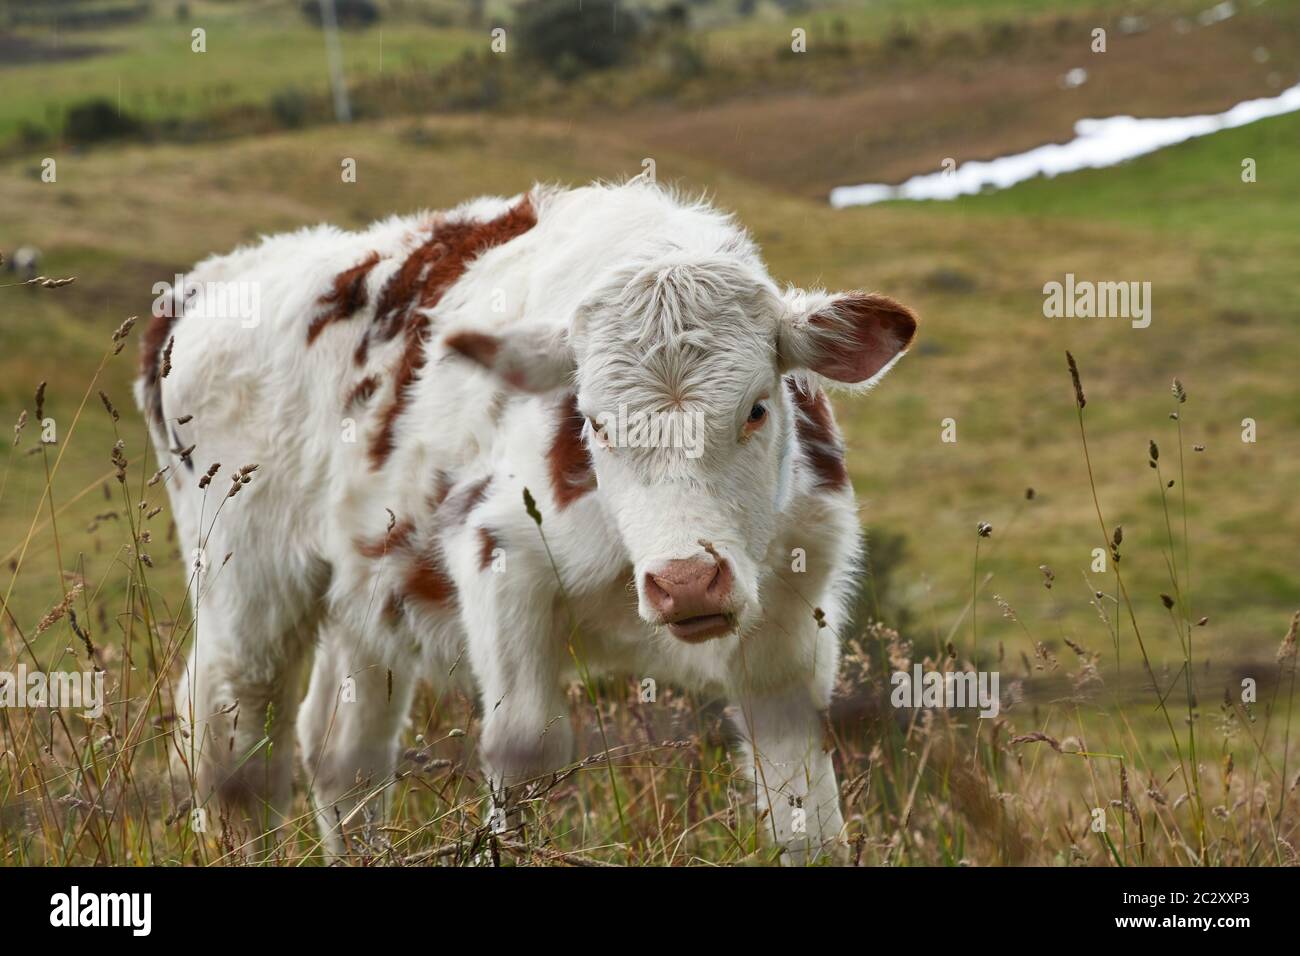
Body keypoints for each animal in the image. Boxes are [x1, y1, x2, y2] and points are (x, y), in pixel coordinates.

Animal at [136, 180, 918, 864]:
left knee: (343, 753)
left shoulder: (790, 624)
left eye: (756, 407)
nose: (687, 582)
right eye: (595, 423)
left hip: (366, 591)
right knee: (234, 744)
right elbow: (526, 749)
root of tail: (212, 280)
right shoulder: (500, 560)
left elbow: (804, 811)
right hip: (244, 587)